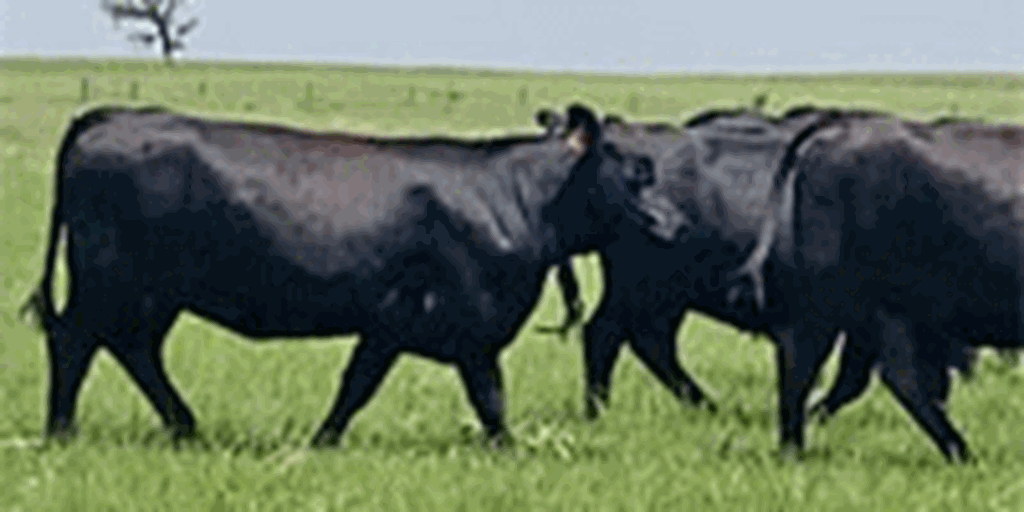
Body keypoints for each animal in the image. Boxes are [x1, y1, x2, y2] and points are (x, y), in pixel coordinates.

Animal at [18, 103, 655, 449]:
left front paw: (321, 442)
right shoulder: (466, 331)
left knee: (134, 350)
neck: (516, 197)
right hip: (109, 282)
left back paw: (186, 428)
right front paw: (514, 450)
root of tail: (115, 117)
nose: (665, 222)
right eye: (637, 172)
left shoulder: (391, 328)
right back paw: (61, 432)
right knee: (75, 342)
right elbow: (488, 398)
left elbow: (357, 387)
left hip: (149, 294)